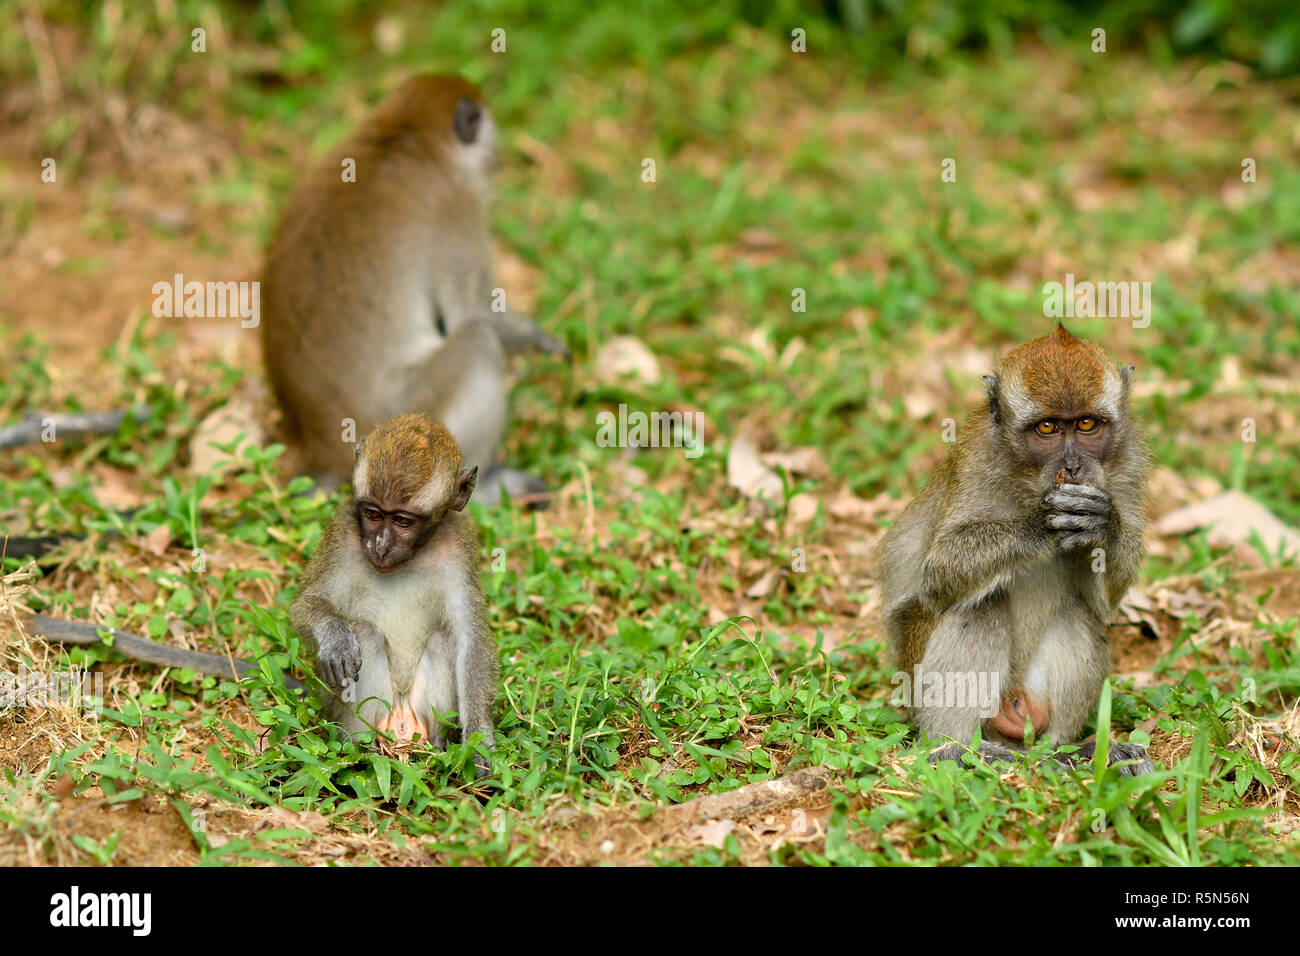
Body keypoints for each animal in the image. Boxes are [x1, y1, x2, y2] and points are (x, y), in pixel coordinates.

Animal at [259, 73, 567, 503]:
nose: (497, 156)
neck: (404, 134)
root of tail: (321, 448)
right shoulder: (455, 203)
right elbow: (473, 313)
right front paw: (541, 341)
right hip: (406, 412)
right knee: (478, 343)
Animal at [289, 412, 499, 778]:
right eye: (372, 513)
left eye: (403, 520)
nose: (380, 546)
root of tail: (399, 723)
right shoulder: (343, 531)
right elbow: (306, 604)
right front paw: (334, 637)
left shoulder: (460, 545)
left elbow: (470, 639)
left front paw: (477, 740)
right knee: (365, 634)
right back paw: (356, 749)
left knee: (444, 640)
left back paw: (436, 745)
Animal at [878, 324, 1153, 775]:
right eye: (1047, 428)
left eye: (1087, 423)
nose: (1073, 467)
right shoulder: (974, 459)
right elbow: (940, 571)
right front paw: (1039, 526)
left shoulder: (1128, 463)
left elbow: (1104, 602)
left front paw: (1103, 524)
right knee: (976, 609)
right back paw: (955, 749)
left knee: (1078, 615)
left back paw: (1064, 751)